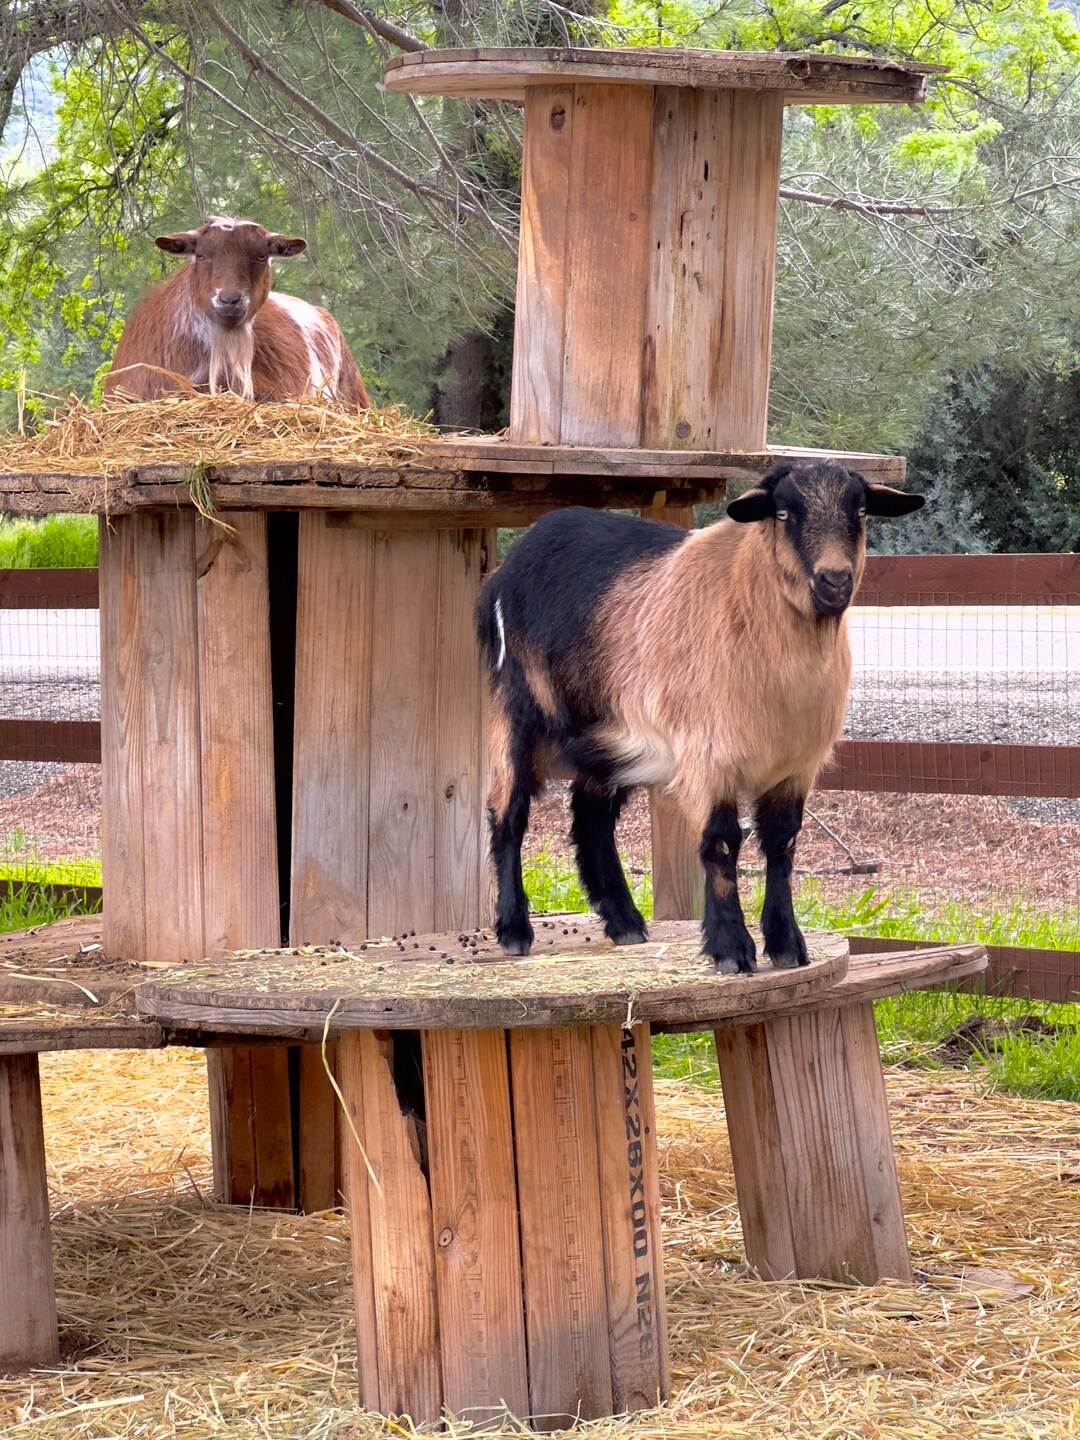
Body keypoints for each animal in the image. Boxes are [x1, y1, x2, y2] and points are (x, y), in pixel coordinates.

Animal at [476, 461, 924, 973]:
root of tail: (505, 571)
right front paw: (731, 947)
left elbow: (782, 845)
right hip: (516, 709)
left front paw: (787, 944)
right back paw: (514, 929)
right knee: (508, 811)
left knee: (591, 816)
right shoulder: (709, 755)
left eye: (861, 510)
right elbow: (722, 844)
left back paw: (625, 922)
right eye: (784, 512)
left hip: (610, 734)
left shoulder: (795, 767)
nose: (835, 581)